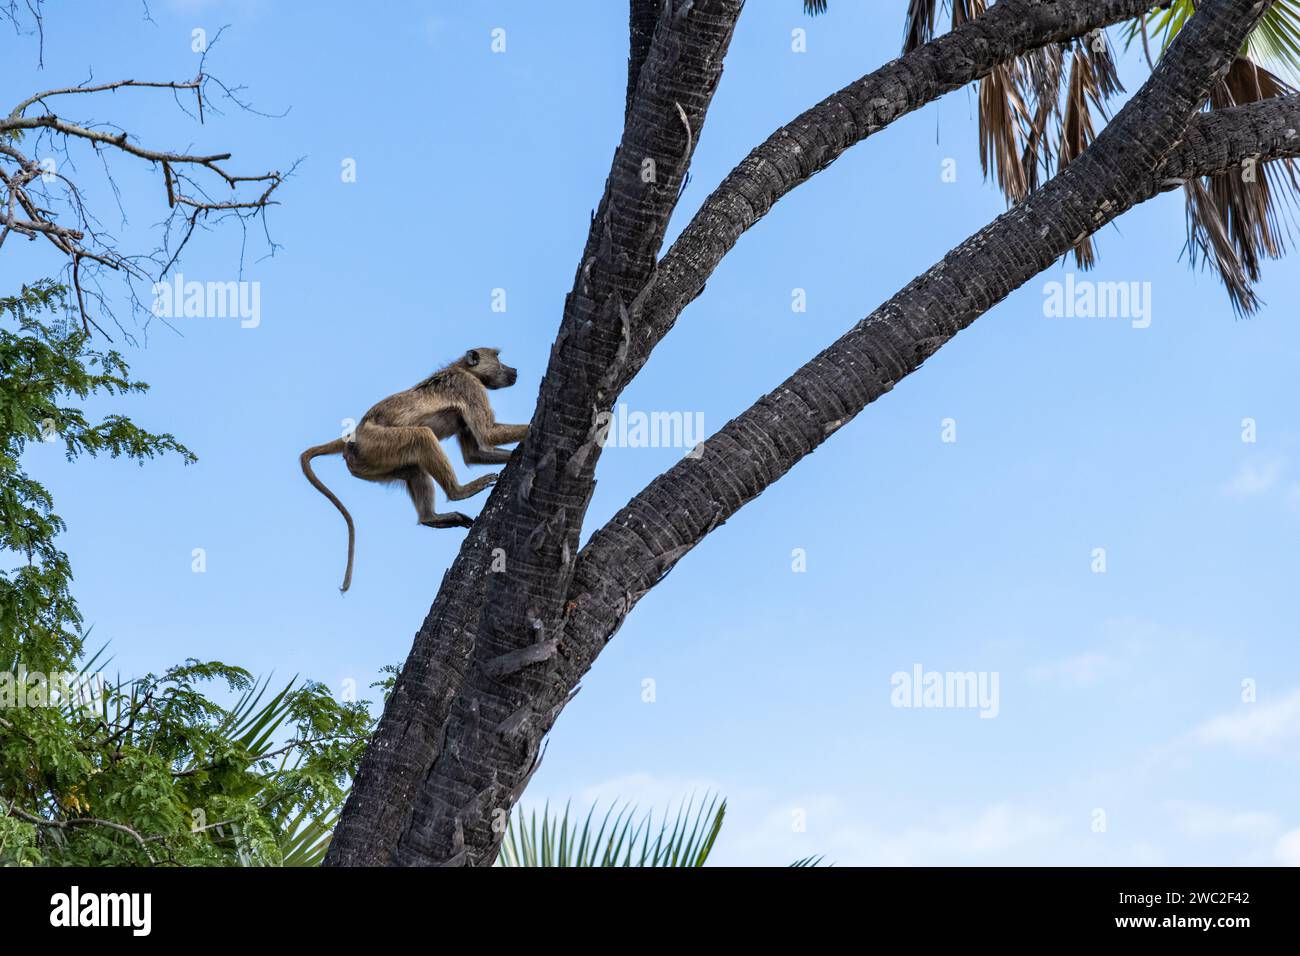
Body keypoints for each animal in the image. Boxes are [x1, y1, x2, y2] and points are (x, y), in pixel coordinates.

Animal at [300, 348, 528, 592]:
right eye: (498, 358)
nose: (514, 370)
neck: (462, 368)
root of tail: (355, 433)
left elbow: (474, 453)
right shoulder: (470, 387)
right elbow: (488, 433)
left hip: (373, 463)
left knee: (414, 470)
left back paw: (432, 518)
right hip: (376, 444)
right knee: (422, 437)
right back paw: (459, 492)